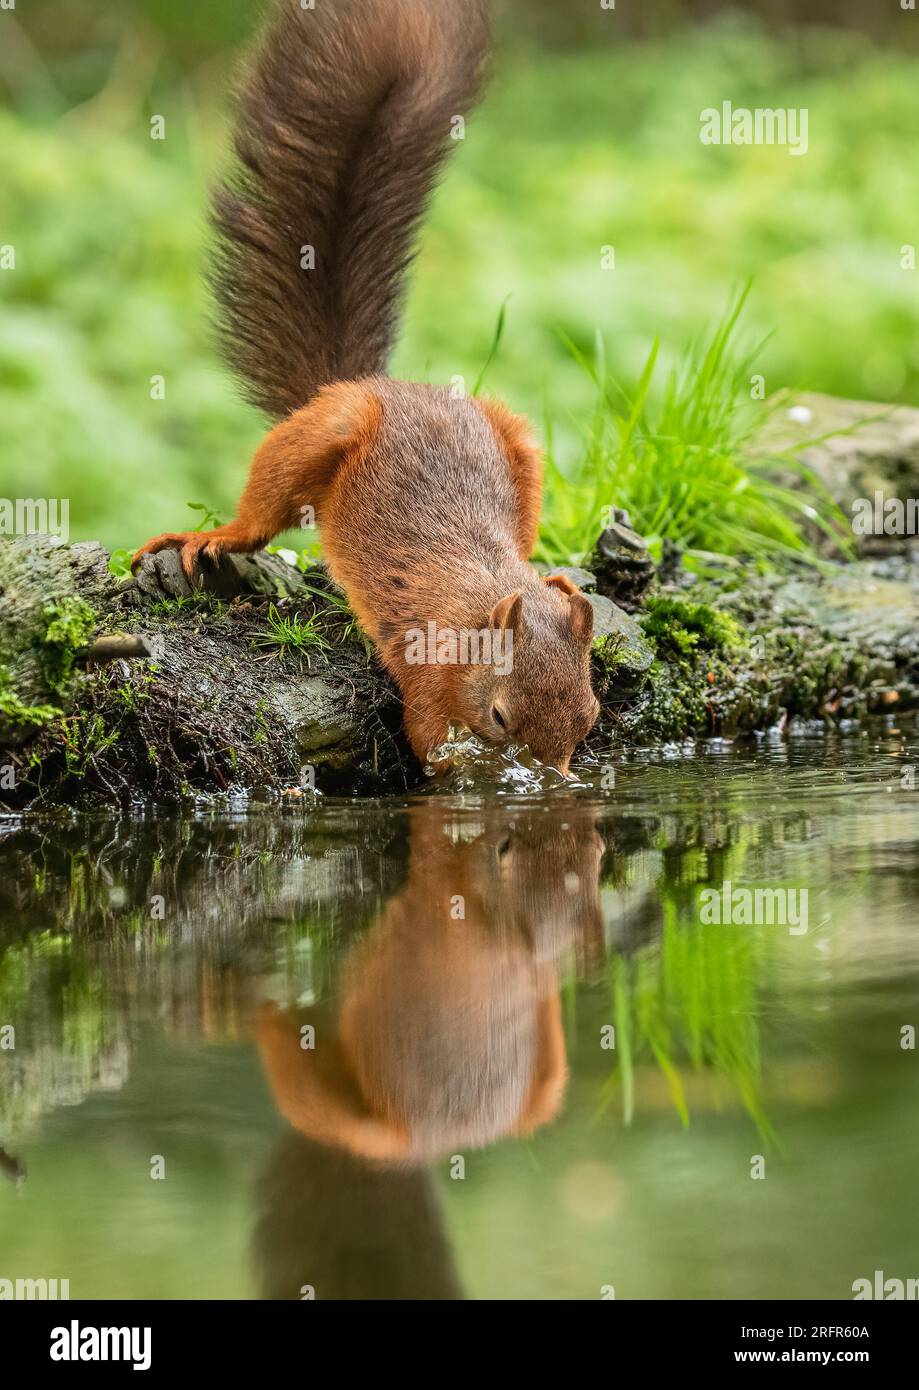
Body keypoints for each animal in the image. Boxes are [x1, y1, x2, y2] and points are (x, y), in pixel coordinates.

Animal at [131, 0, 600, 774]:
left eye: (590, 718)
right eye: (500, 716)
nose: (551, 778)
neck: (478, 610)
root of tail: (369, 383)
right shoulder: (426, 671)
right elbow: (428, 738)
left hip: (517, 439)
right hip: (323, 434)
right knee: (260, 514)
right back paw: (216, 535)